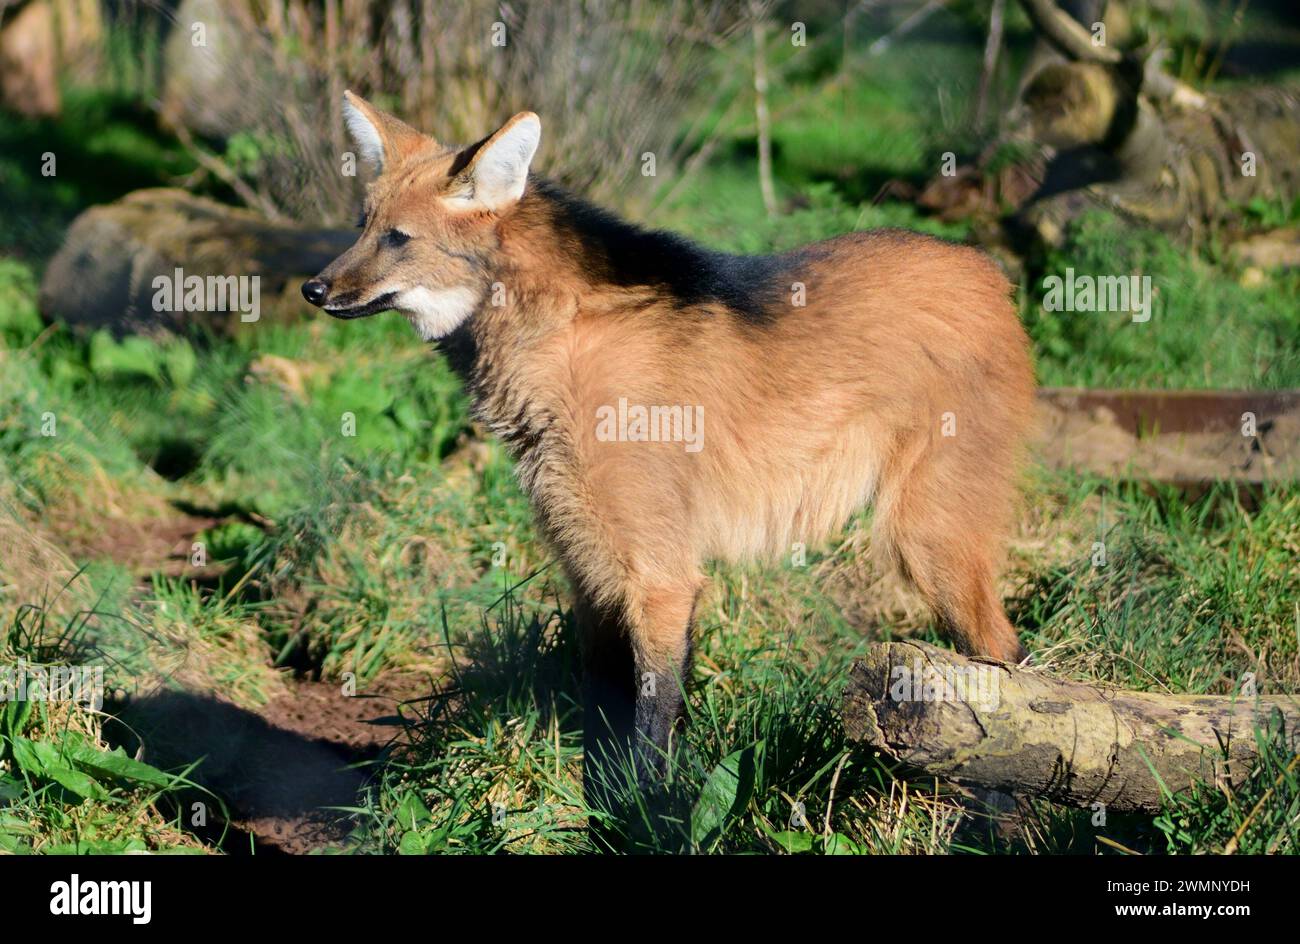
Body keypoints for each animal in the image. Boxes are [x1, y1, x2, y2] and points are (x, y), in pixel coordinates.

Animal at [302, 92, 1036, 794]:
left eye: (399, 239)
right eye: (363, 226)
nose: (314, 287)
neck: (555, 345)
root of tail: (985, 267)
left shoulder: (660, 577)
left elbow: (650, 730)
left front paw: (645, 813)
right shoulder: (589, 571)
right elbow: (600, 716)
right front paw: (592, 810)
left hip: (925, 536)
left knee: (1006, 660)